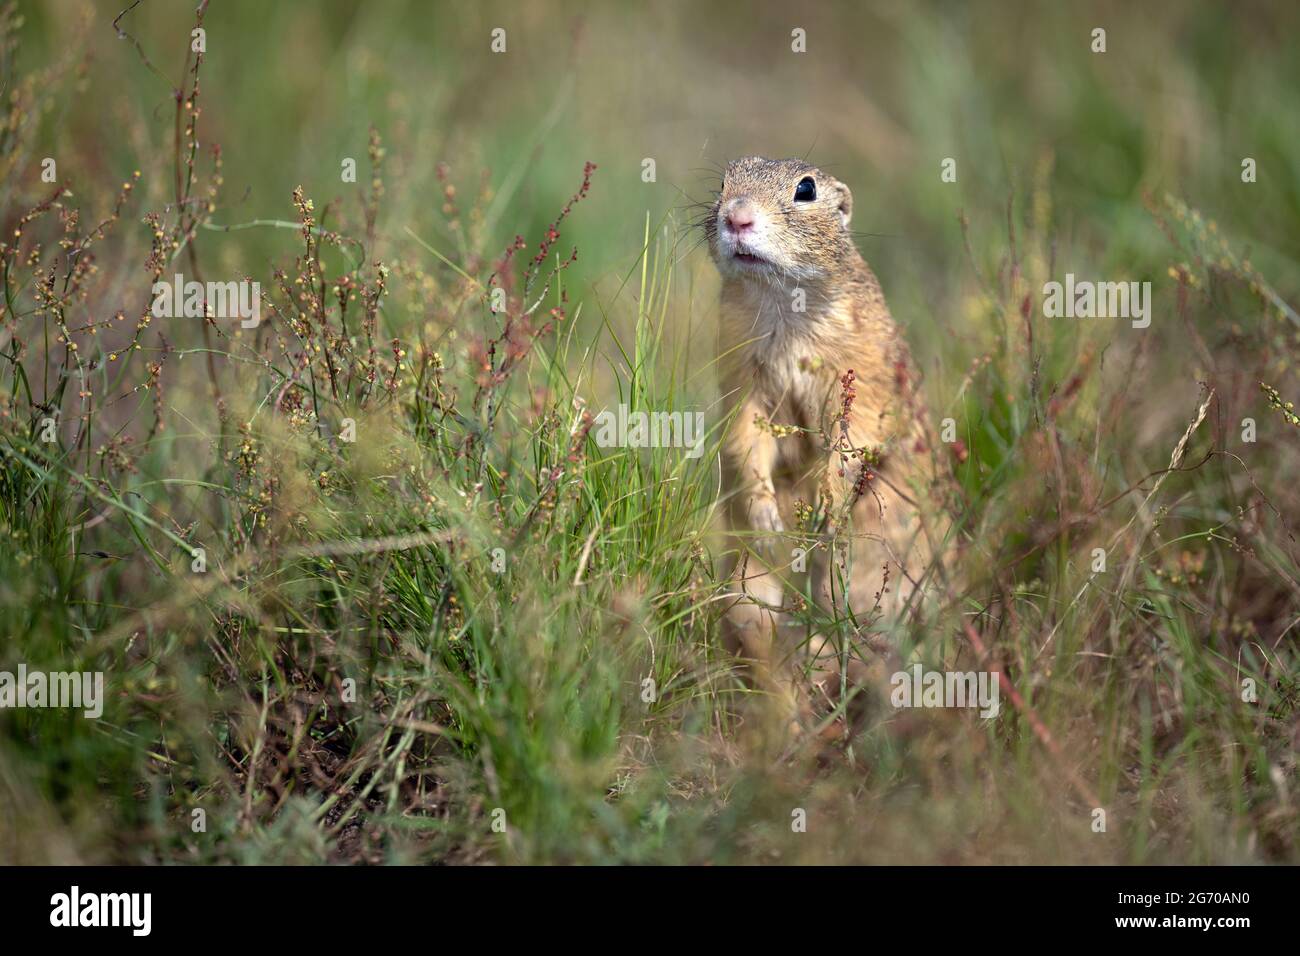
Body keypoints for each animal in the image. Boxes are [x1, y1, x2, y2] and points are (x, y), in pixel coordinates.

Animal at [706, 156, 943, 731]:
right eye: (723, 181)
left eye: (806, 189)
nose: (736, 217)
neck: (780, 300)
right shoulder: (742, 374)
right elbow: (745, 438)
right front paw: (769, 517)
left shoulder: (860, 373)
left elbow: (853, 443)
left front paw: (826, 512)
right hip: (746, 589)